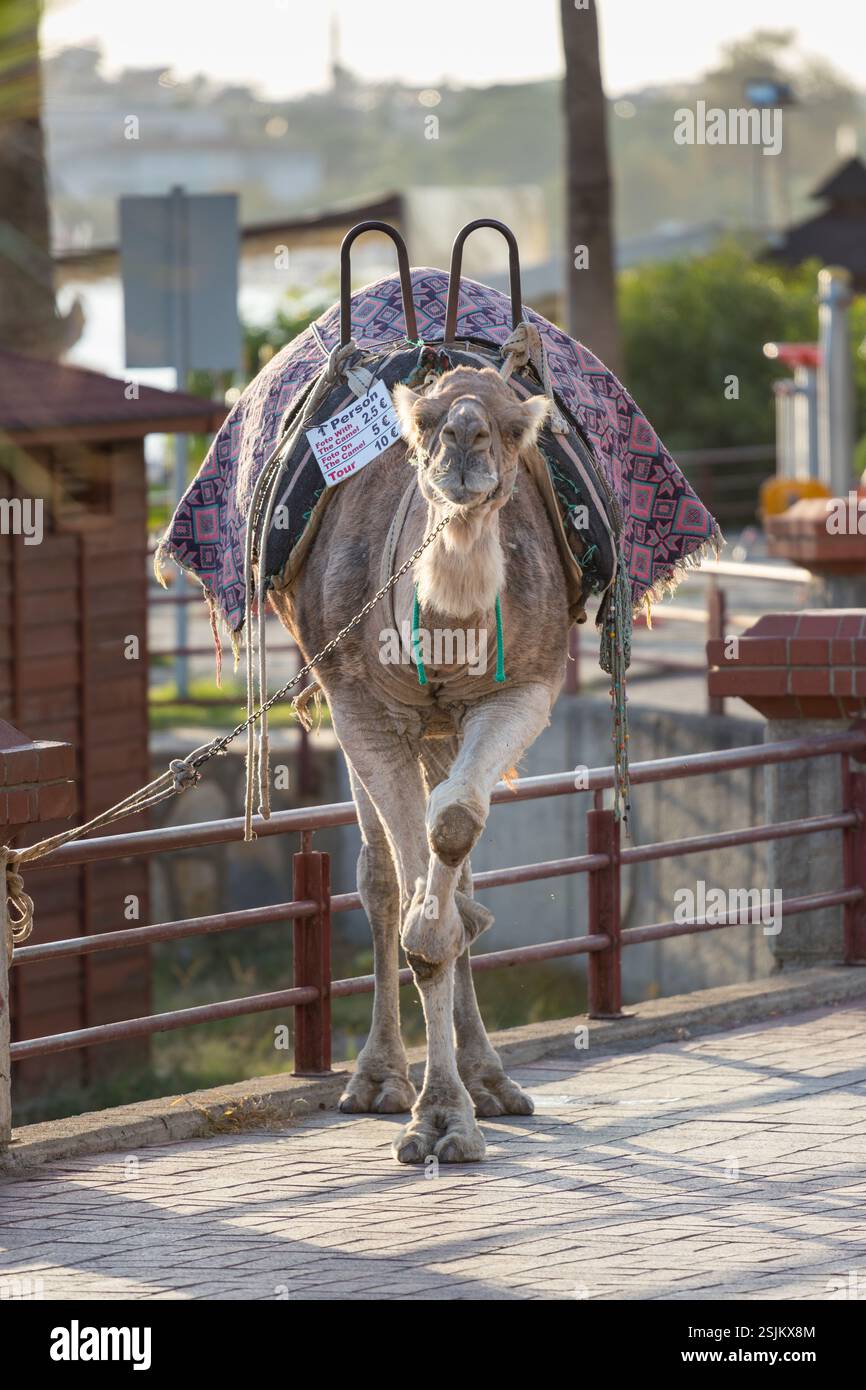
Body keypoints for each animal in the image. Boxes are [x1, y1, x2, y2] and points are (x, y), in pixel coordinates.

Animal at [271, 364, 574, 1164]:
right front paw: (434, 1116)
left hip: (448, 730)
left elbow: (457, 828)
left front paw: (454, 1113)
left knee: (455, 848)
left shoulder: (522, 691)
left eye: (512, 428)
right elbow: (409, 902)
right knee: (378, 878)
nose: (465, 438)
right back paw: (378, 1080)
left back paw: (492, 1081)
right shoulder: (359, 705)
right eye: (422, 425)